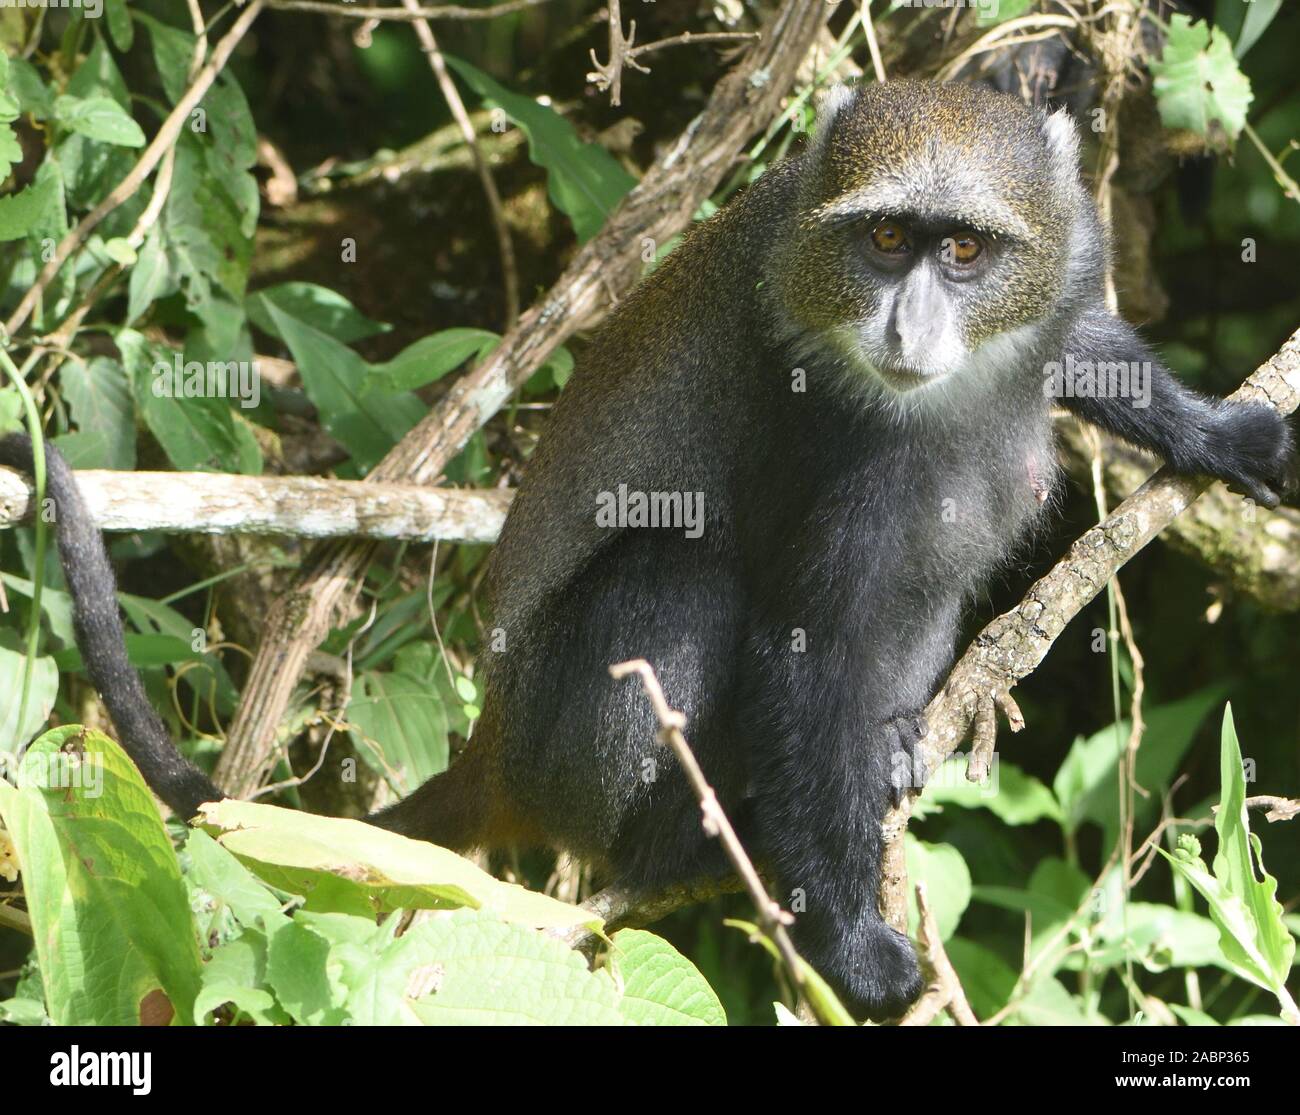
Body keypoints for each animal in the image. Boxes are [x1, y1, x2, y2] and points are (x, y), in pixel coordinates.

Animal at [0, 80, 1293, 1022]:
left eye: (963, 253)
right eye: (884, 239)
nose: (906, 323)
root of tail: (495, 751)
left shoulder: (1048, 285)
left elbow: (1079, 338)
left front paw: (1217, 431)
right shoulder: (838, 446)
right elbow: (803, 650)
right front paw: (847, 939)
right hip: (567, 742)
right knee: (681, 582)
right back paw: (698, 836)